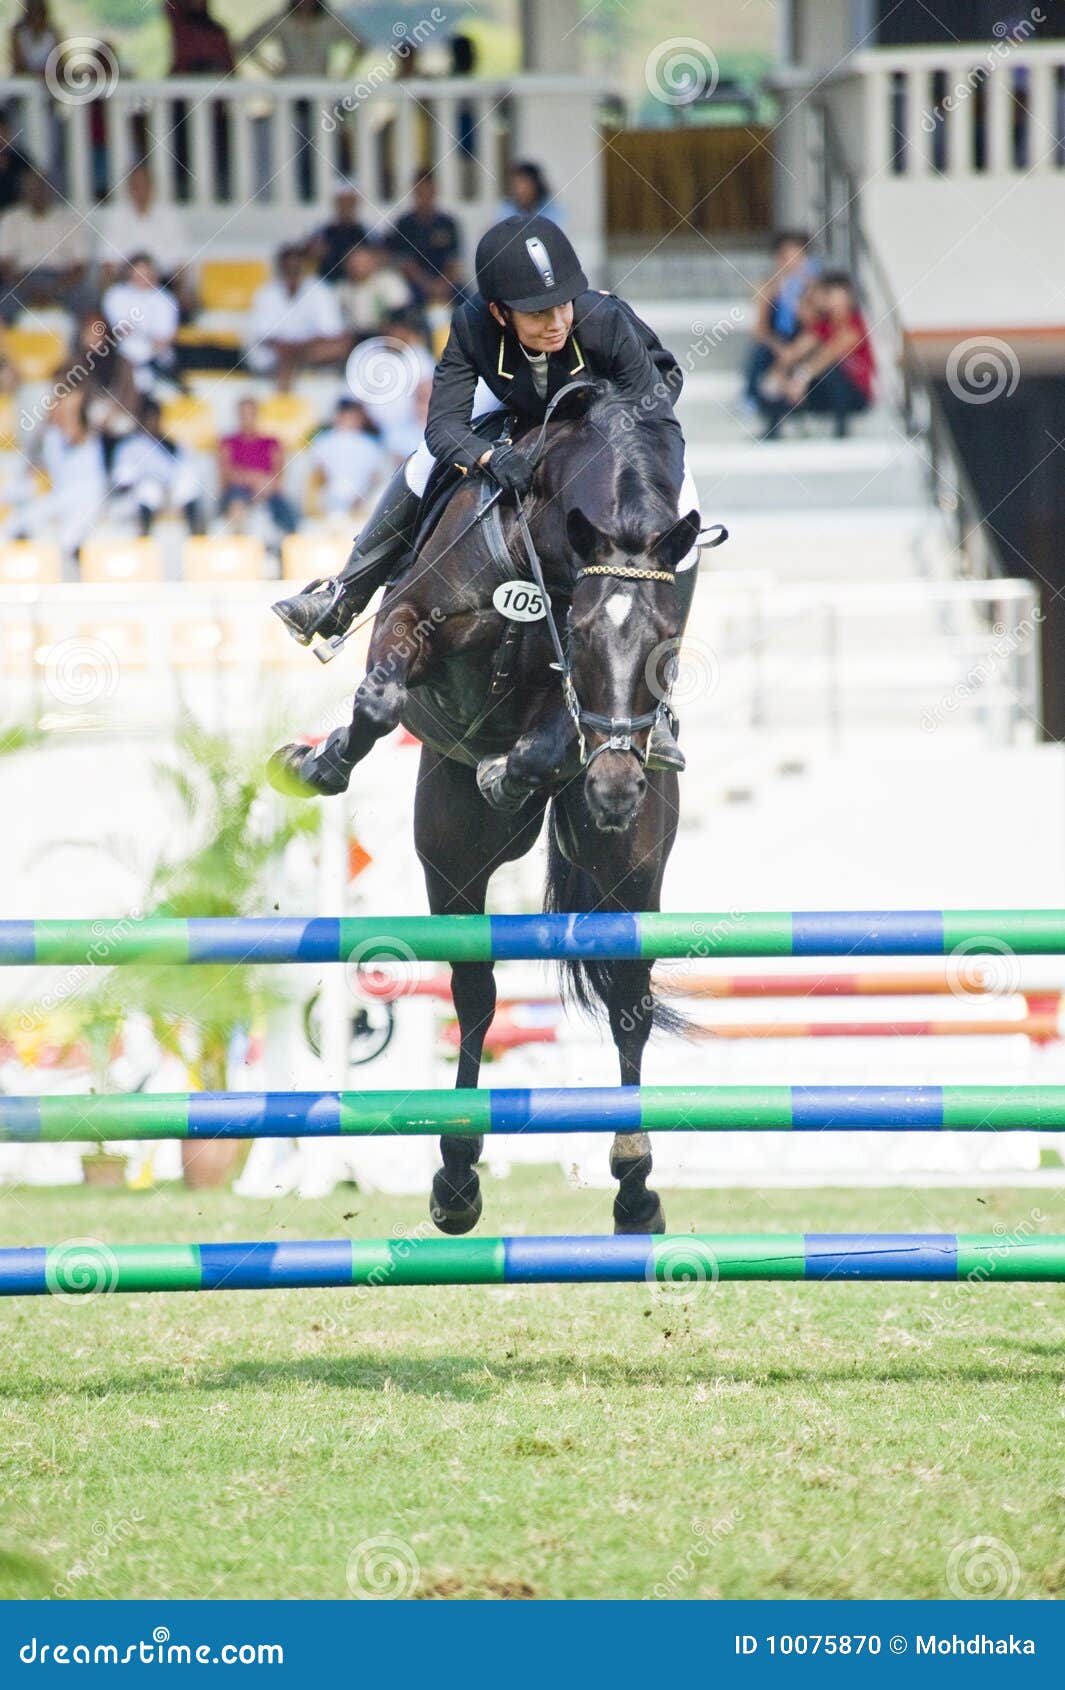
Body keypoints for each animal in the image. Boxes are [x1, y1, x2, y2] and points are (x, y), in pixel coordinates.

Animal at [271, 383, 700, 1236]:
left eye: (668, 643)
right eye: (582, 636)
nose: (613, 789)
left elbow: (549, 735)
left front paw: (513, 771)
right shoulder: (409, 622)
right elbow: (380, 700)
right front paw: (320, 762)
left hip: (629, 872)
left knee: (628, 1002)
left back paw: (634, 1187)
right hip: (452, 856)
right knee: (474, 996)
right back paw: (456, 1179)